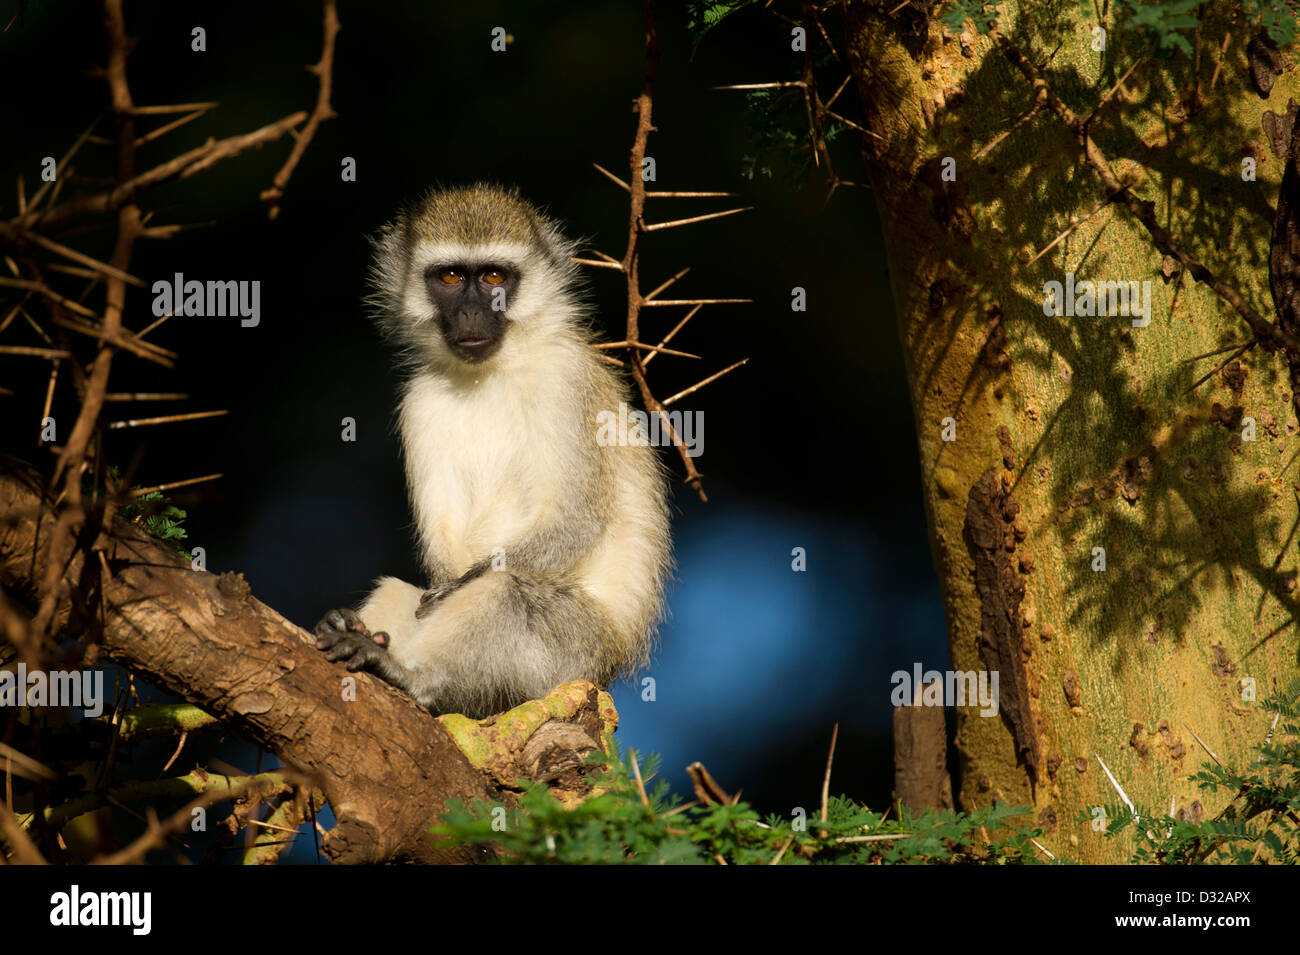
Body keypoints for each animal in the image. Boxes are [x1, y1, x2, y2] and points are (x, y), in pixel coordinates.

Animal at [313, 183, 673, 720]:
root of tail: (607, 671)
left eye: (495, 277)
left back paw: (412, 676)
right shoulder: (419, 400)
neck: (495, 371)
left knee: (504, 591)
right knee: (402, 590)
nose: (470, 313)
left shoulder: (566, 378)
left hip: (573, 653)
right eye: (450, 277)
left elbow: (574, 520)